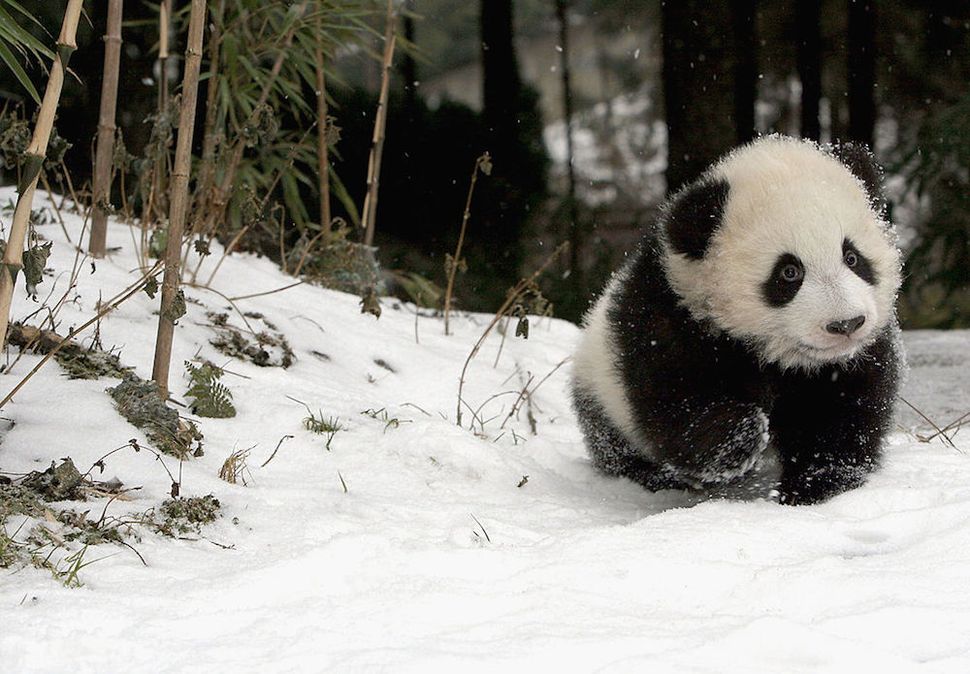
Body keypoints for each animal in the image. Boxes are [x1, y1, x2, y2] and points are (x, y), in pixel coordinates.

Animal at [571, 134, 903, 505]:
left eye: (852, 257)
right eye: (789, 272)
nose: (845, 325)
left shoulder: (852, 357)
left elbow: (842, 409)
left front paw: (818, 483)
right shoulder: (669, 316)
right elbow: (674, 400)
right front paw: (739, 440)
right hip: (599, 390)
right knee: (615, 445)